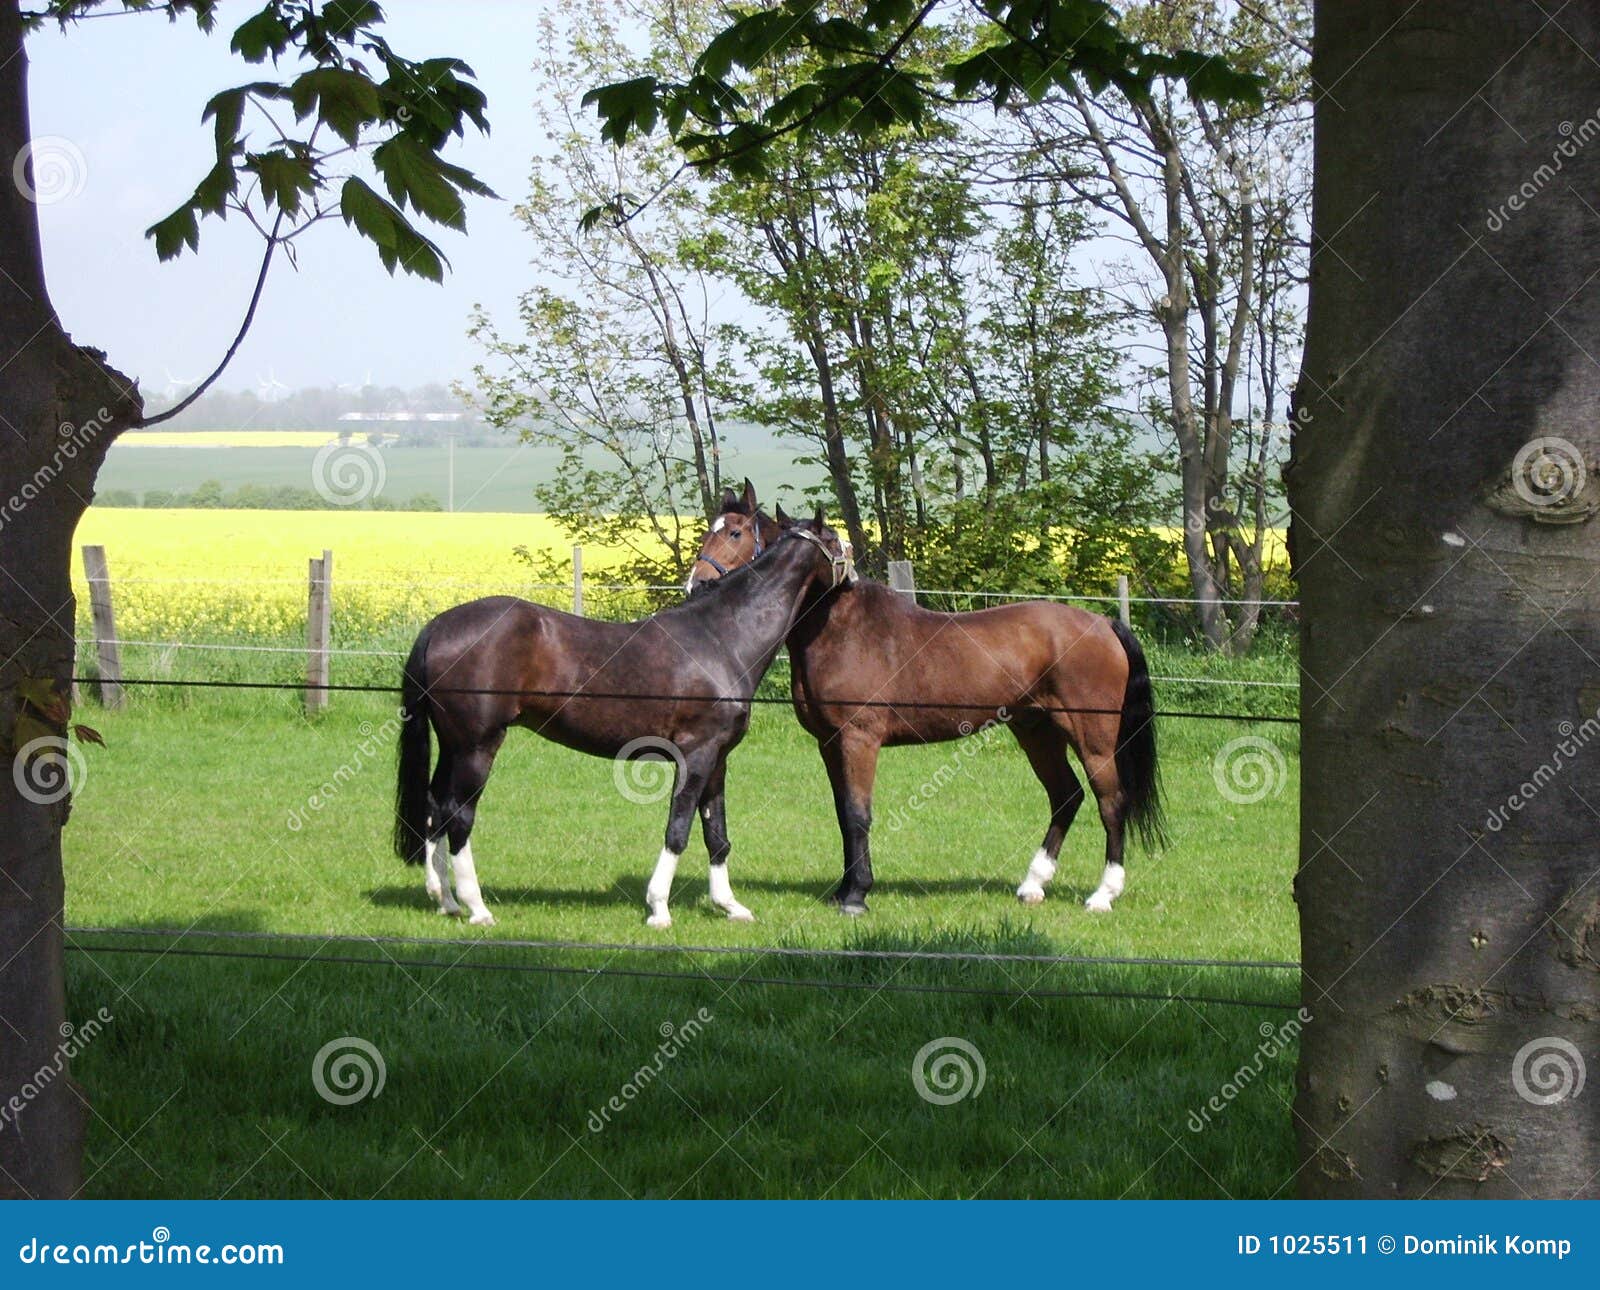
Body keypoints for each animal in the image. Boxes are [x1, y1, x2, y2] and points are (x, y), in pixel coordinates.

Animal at [394, 513, 854, 928]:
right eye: (834, 539)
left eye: (734, 533)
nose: (854, 572)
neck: (722, 637)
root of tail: (438, 625)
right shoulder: (695, 754)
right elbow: (678, 828)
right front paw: (659, 909)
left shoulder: (717, 759)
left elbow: (716, 833)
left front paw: (730, 907)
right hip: (478, 746)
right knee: (459, 816)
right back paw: (477, 908)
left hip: (454, 745)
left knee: (435, 808)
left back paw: (446, 900)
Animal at [689, 488, 1164, 914]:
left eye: (734, 533)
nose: (697, 585)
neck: (841, 627)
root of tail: (1103, 623)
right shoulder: (829, 742)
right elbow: (843, 814)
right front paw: (843, 890)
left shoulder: (859, 740)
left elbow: (858, 814)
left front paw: (857, 895)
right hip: (1037, 730)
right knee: (1065, 796)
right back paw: (1033, 886)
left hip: (1092, 736)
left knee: (1111, 802)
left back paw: (1103, 895)